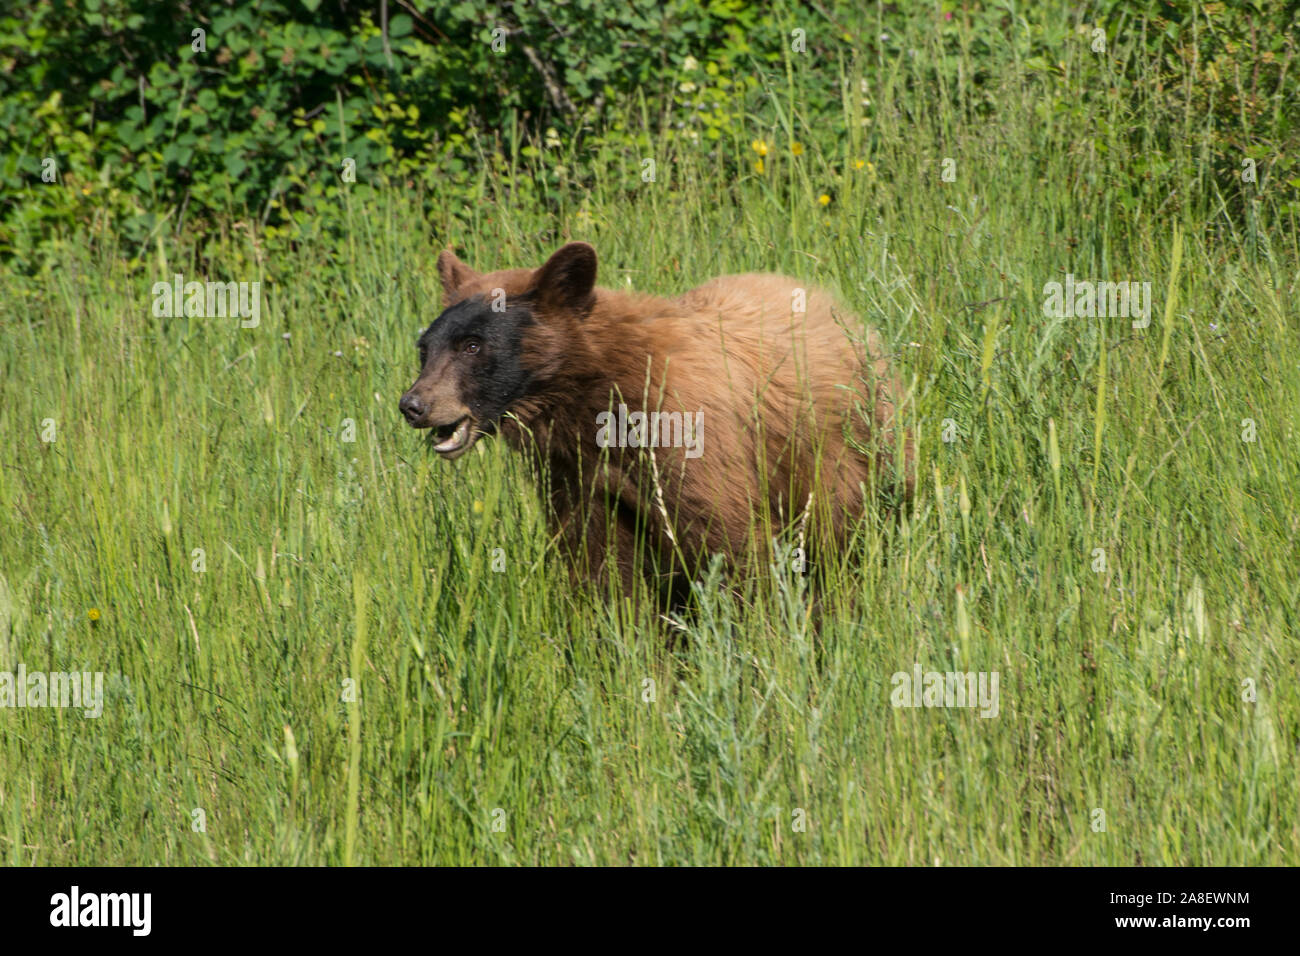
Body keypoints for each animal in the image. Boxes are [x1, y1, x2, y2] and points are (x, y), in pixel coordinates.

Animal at [399, 242, 913, 613]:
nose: (414, 405)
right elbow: (603, 568)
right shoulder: (578, 478)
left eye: (472, 345)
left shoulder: (693, 446)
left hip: (845, 451)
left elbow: (735, 548)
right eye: (426, 347)